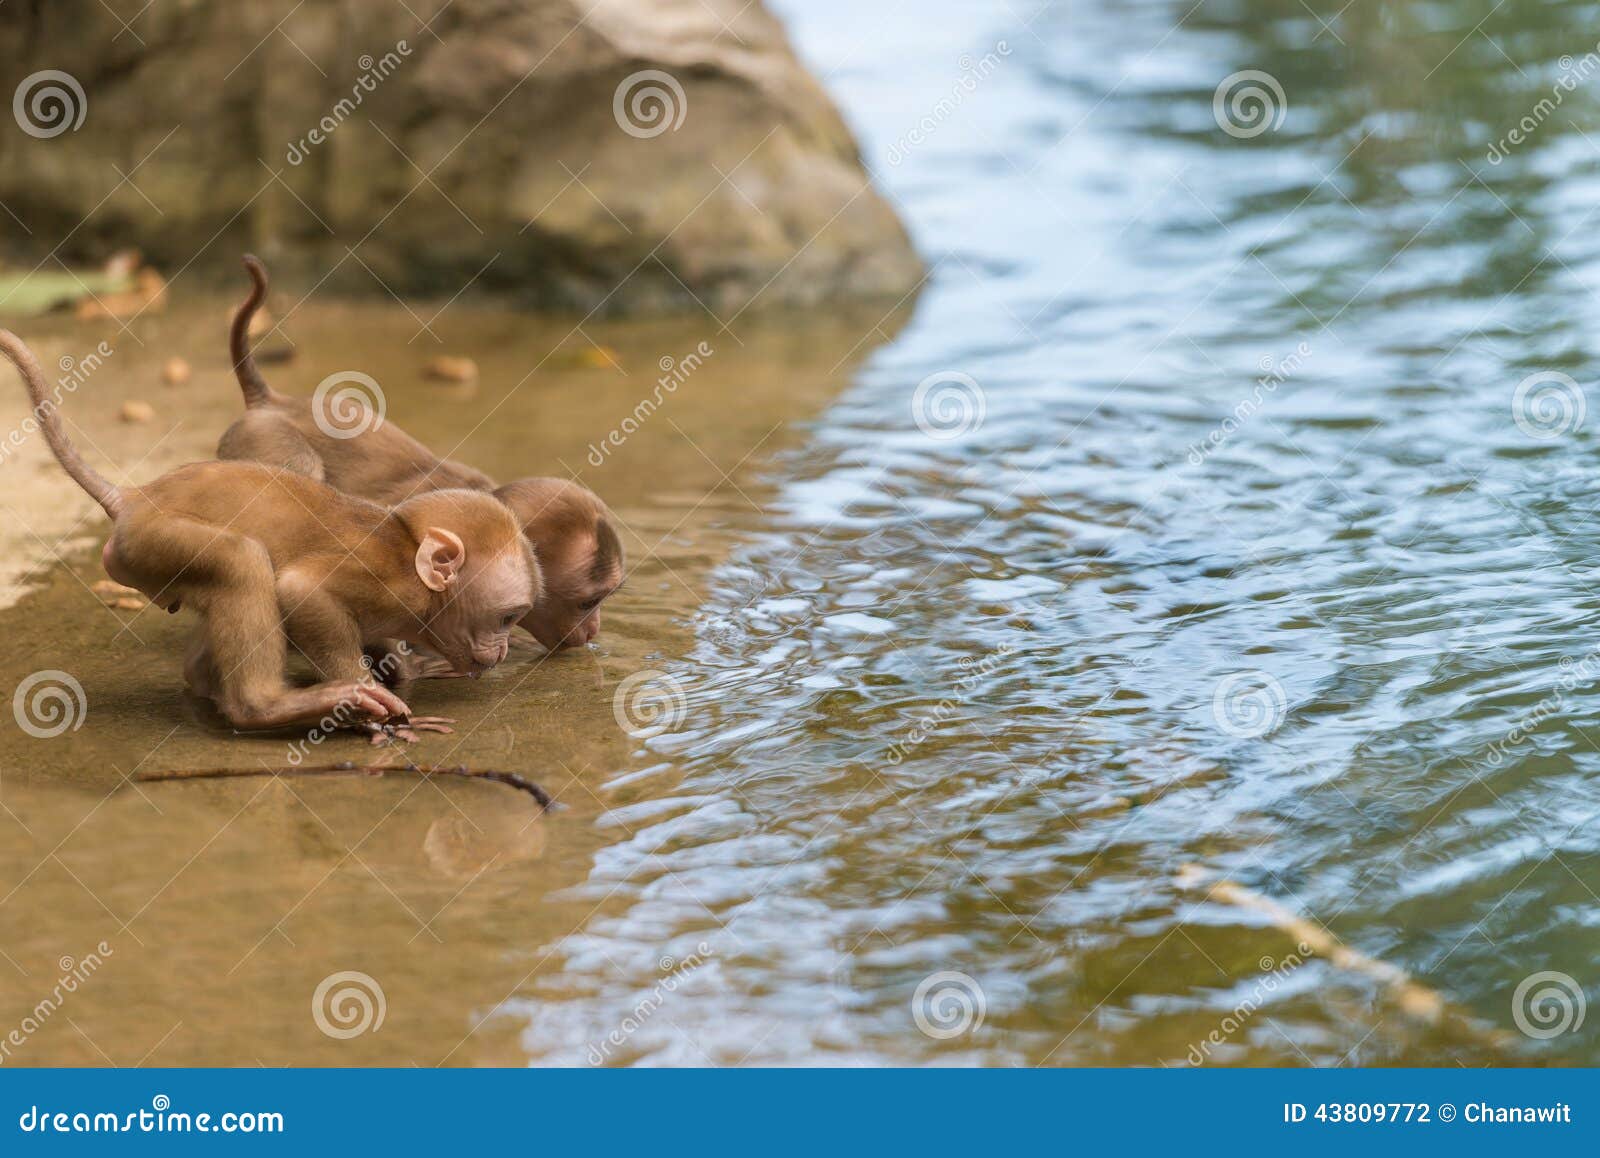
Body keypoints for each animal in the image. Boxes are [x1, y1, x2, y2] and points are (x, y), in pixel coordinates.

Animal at [0, 329, 539, 736]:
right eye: (509, 617)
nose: (502, 650)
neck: (406, 546)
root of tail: (133, 497)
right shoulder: (389, 585)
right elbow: (301, 592)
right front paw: (371, 708)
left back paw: (209, 687)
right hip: (151, 542)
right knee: (241, 560)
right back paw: (265, 707)